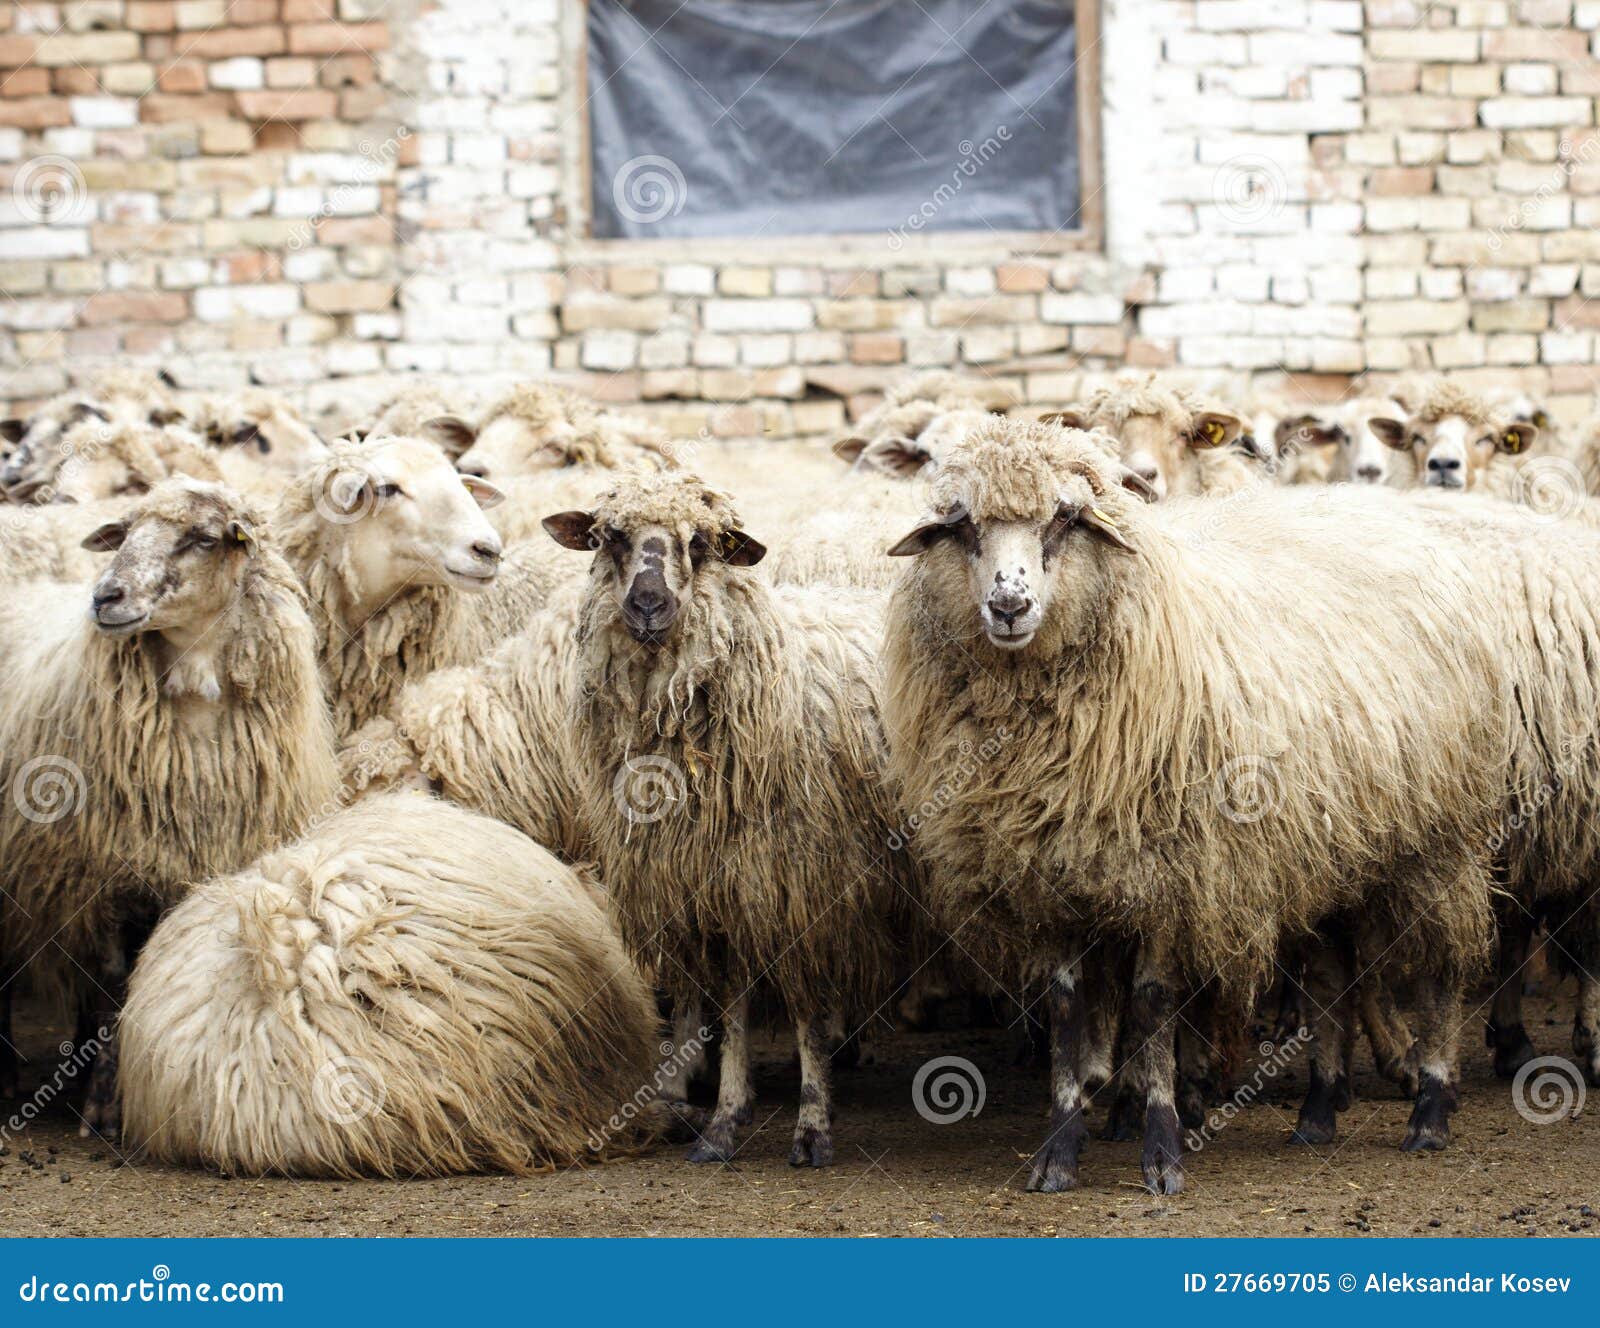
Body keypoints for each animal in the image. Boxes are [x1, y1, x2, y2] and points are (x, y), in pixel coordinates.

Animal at [0, 477, 340, 1132]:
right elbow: (115, 985)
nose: (105, 597)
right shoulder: (106, 874)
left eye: (203, 538)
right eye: (124, 532)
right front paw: (104, 1106)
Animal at [542, 471, 921, 1167]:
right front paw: (723, 1120)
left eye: (702, 543)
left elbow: (803, 1008)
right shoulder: (713, 885)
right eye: (610, 537)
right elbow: (735, 1002)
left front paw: (812, 1125)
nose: (647, 605)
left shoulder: (797, 885)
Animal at [879, 420, 1539, 1194]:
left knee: (1439, 971)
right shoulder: (1047, 877)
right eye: (962, 528)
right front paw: (1058, 1151)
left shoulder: (1176, 868)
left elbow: (1154, 1006)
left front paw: (1162, 1150)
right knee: (1331, 977)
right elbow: (1068, 1014)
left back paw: (1430, 1110)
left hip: (1439, 836)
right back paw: (1318, 1113)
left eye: (1067, 520)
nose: (1009, 607)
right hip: (1337, 843)